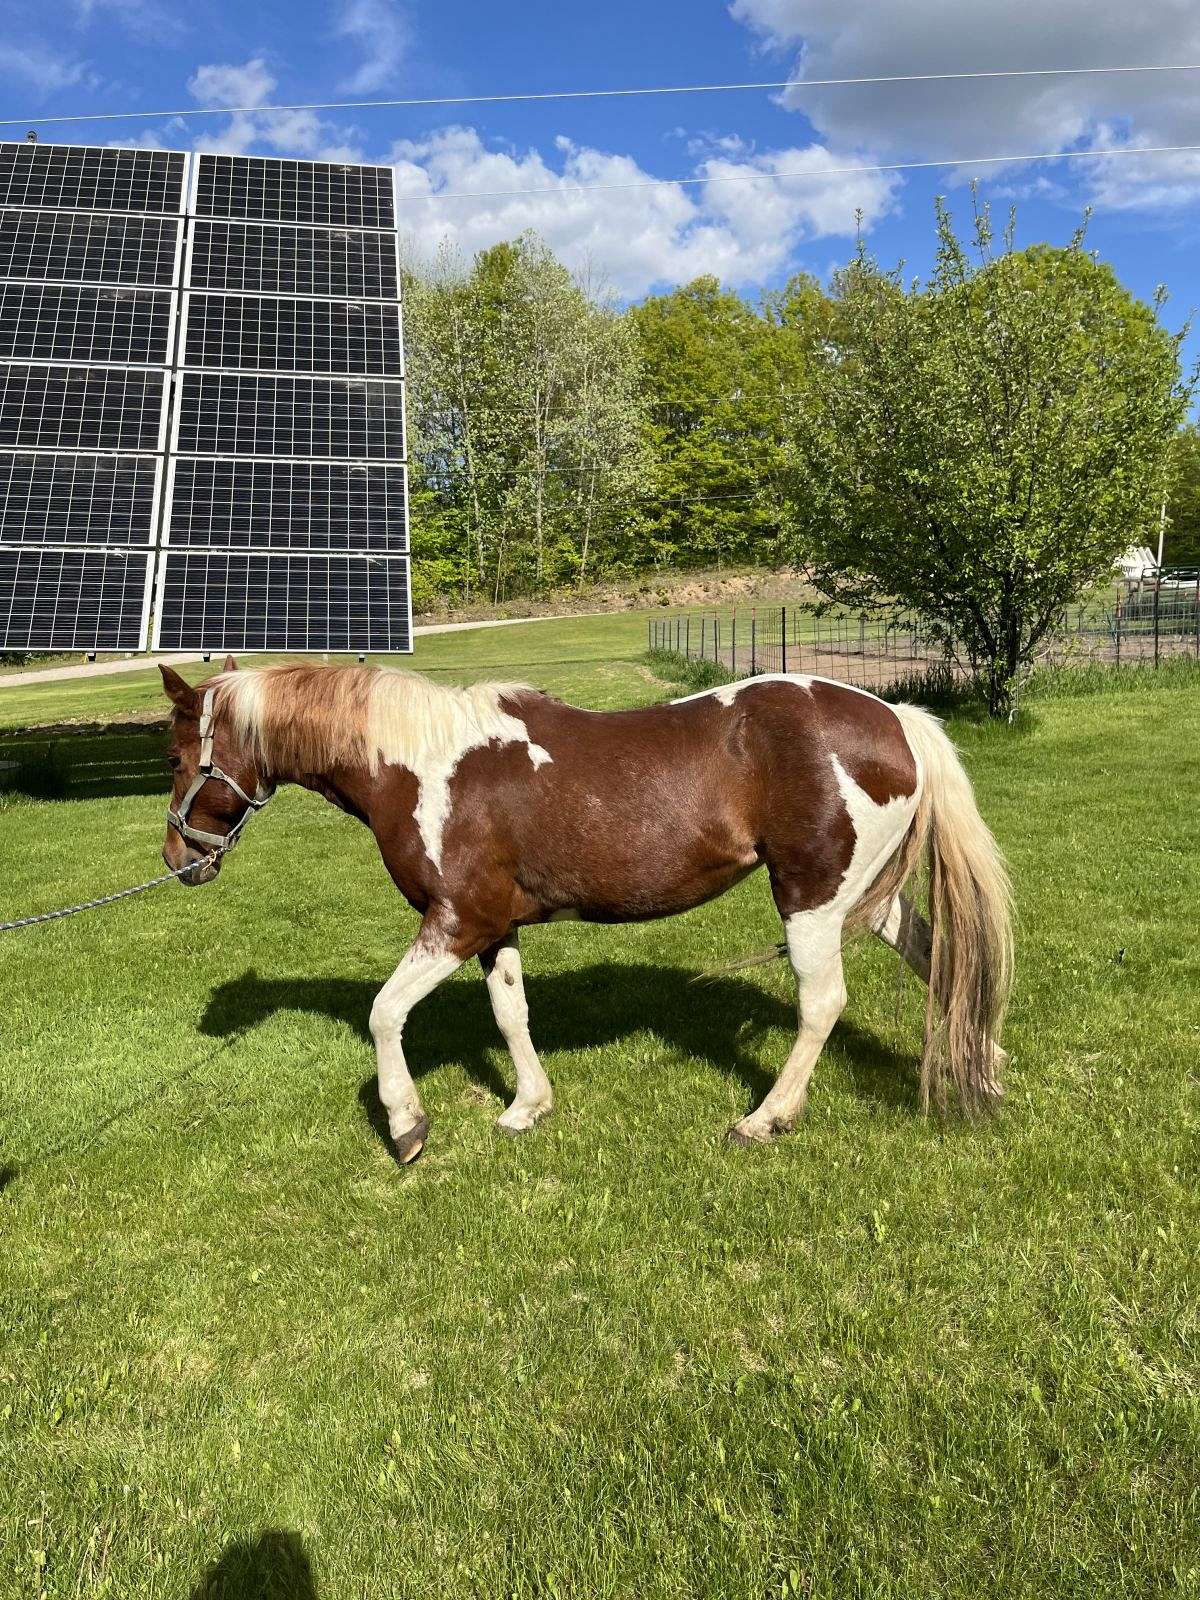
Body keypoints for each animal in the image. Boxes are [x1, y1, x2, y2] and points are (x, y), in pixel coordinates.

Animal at [159, 658, 1012, 1161]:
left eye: (173, 756)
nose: (176, 860)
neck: (422, 766)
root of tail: (897, 718)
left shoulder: (456, 921)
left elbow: (383, 1014)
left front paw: (406, 1126)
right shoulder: (494, 927)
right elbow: (511, 1017)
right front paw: (526, 1107)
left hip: (810, 900)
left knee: (823, 1003)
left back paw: (766, 1118)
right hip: (860, 897)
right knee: (937, 954)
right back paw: (983, 1061)